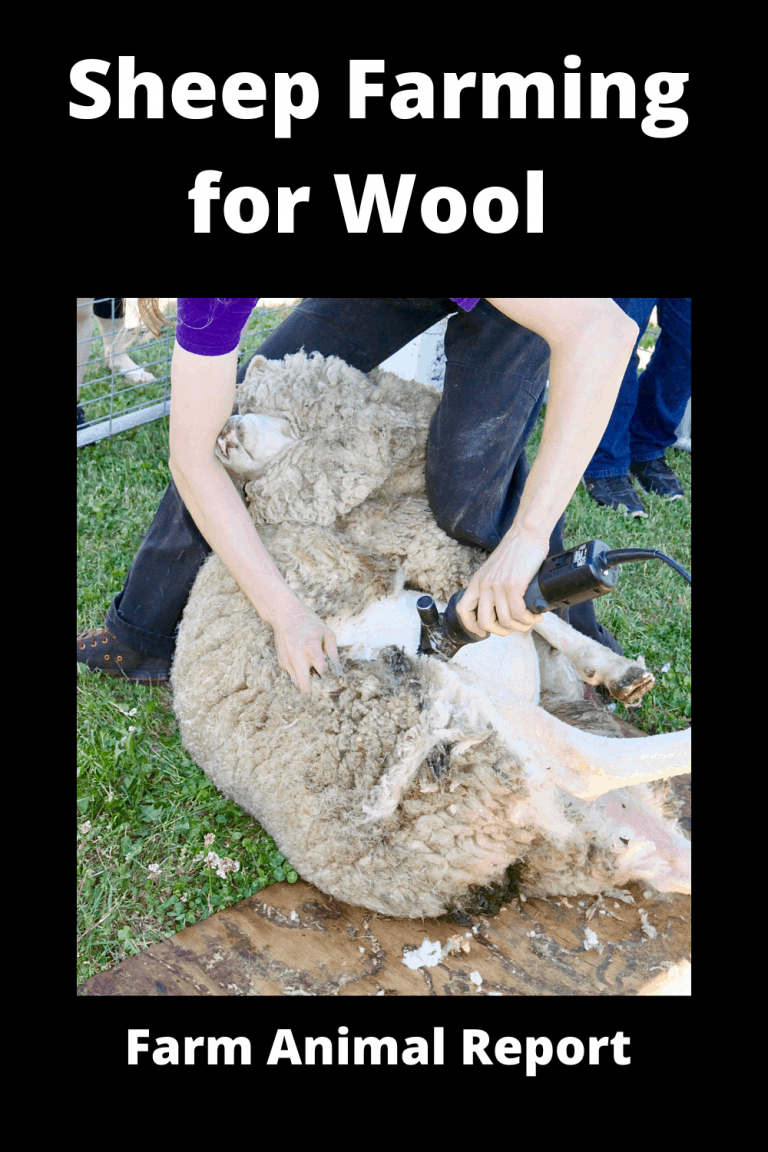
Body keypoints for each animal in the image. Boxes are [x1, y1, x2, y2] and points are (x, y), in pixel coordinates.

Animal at [172, 351, 690, 920]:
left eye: (292, 422)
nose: (226, 431)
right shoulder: (425, 552)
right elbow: (523, 608)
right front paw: (613, 669)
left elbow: (528, 610)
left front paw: (609, 670)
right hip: (457, 704)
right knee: (588, 764)